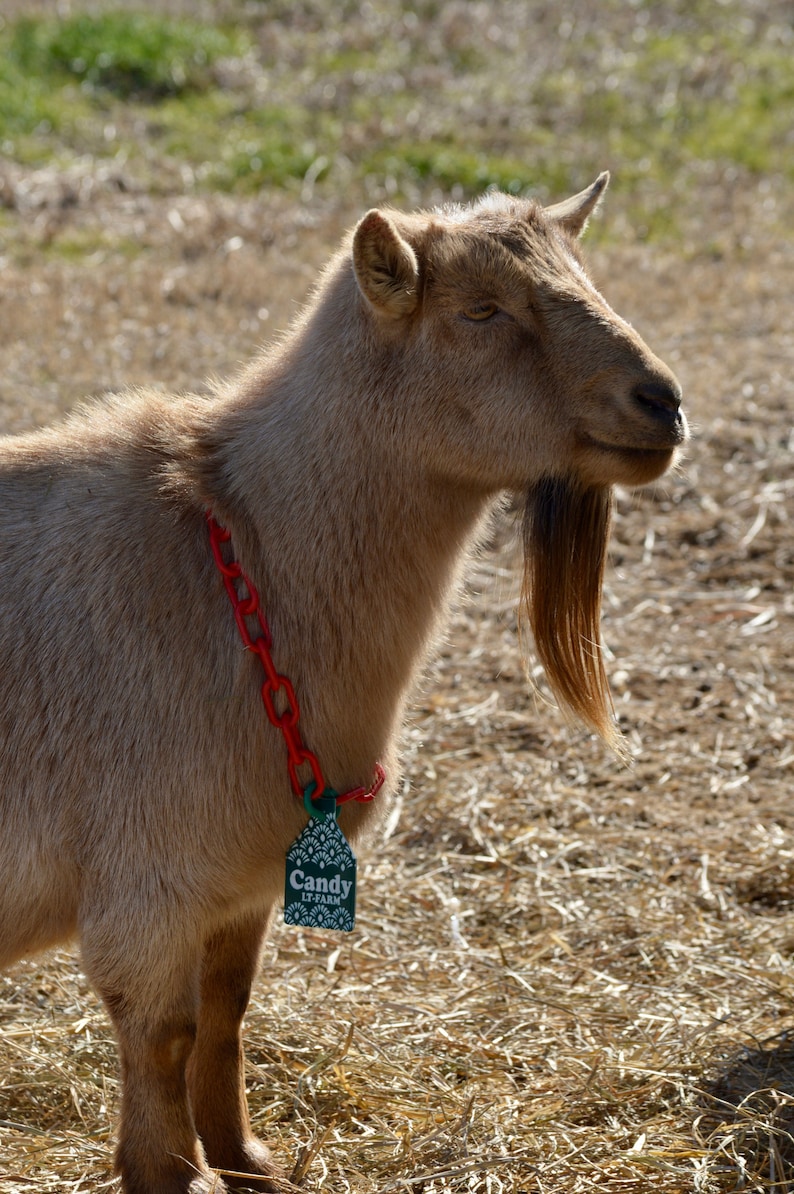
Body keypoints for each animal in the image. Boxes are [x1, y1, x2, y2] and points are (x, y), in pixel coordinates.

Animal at [0, 174, 687, 1193]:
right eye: (481, 310)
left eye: (585, 275)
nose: (663, 402)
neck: (241, 545)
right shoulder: (146, 883)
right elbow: (162, 1036)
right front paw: (178, 1174)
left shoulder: (242, 884)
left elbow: (227, 1016)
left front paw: (250, 1162)